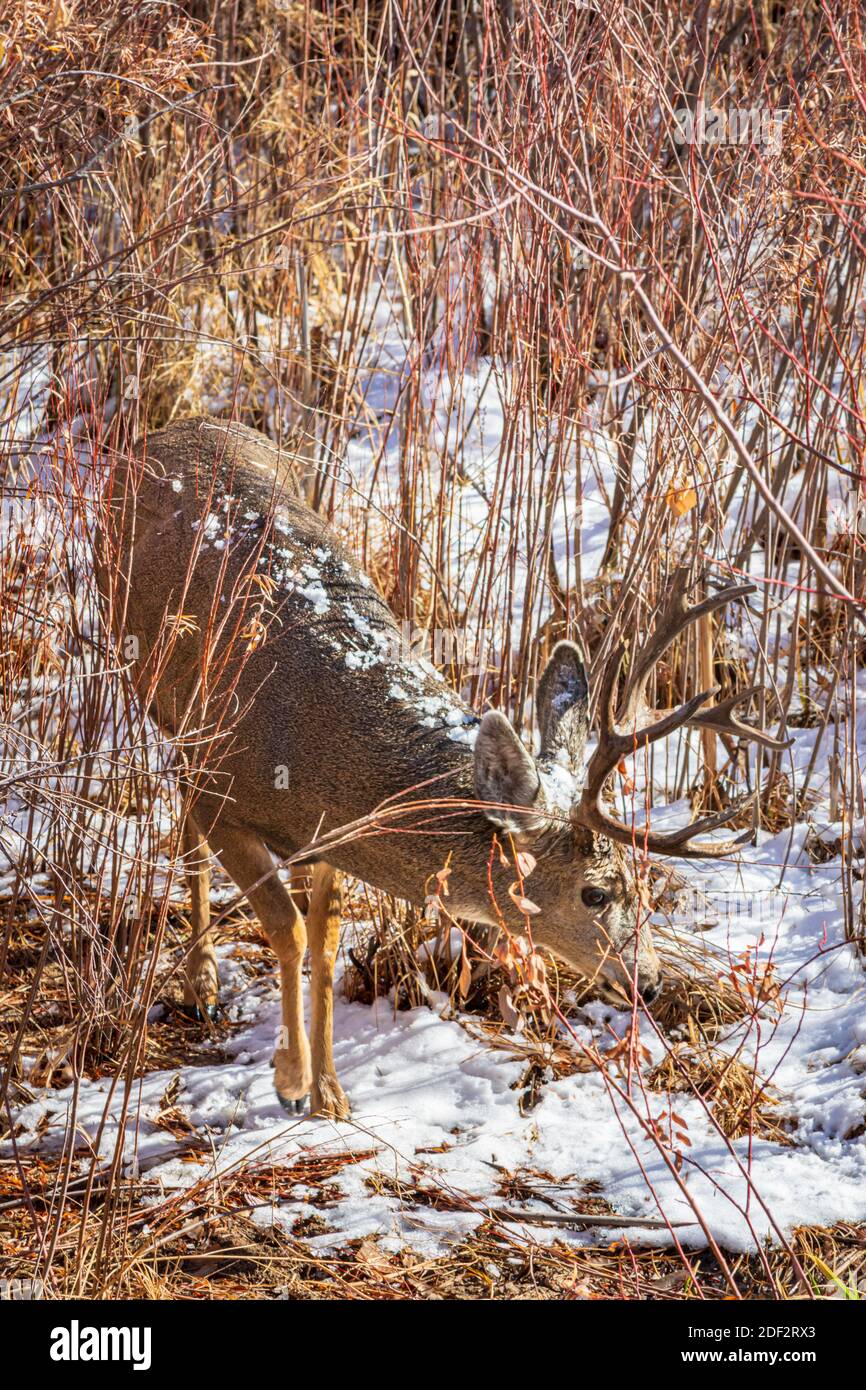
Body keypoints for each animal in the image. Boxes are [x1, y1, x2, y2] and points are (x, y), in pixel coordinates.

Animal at [98, 414, 787, 1120]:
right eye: (595, 892)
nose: (647, 981)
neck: (319, 755)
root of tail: (171, 430)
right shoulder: (224, 792)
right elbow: (285, 928)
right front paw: (291, 1080)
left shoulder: (329, 835)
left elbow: (324, 934)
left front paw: (330, 1092)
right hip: (154, 690)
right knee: (181, 815)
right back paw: (203, 983)